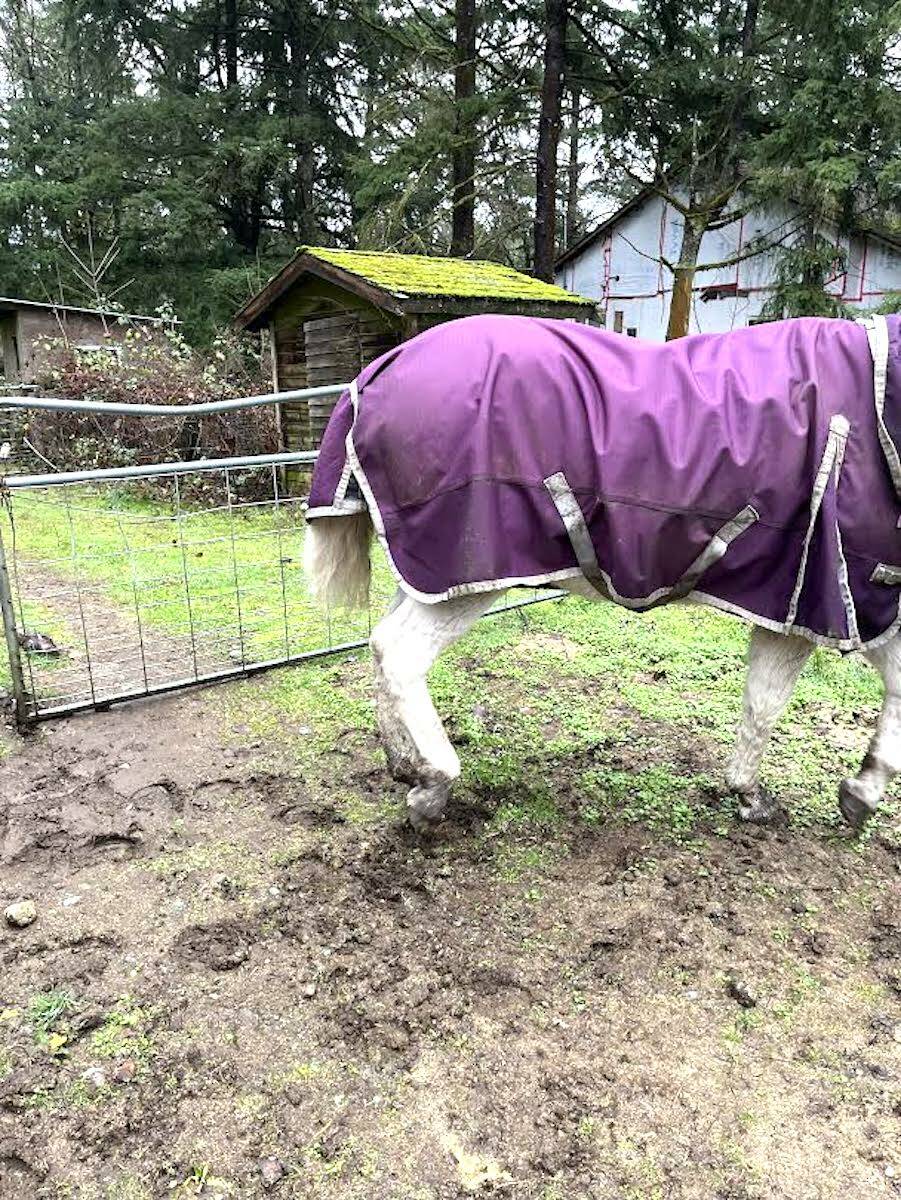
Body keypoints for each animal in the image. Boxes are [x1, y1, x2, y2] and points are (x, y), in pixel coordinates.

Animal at [304, 311, 901, 833]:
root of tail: (379, 370)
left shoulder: (798, 604)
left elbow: (767, 698)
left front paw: (771, 795)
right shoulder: (845, 603)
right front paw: (850, 793)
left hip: (428, 575)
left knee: (381, 644)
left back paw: (402, 763)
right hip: (462, 575)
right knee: (401, 652)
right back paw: (433, 784)